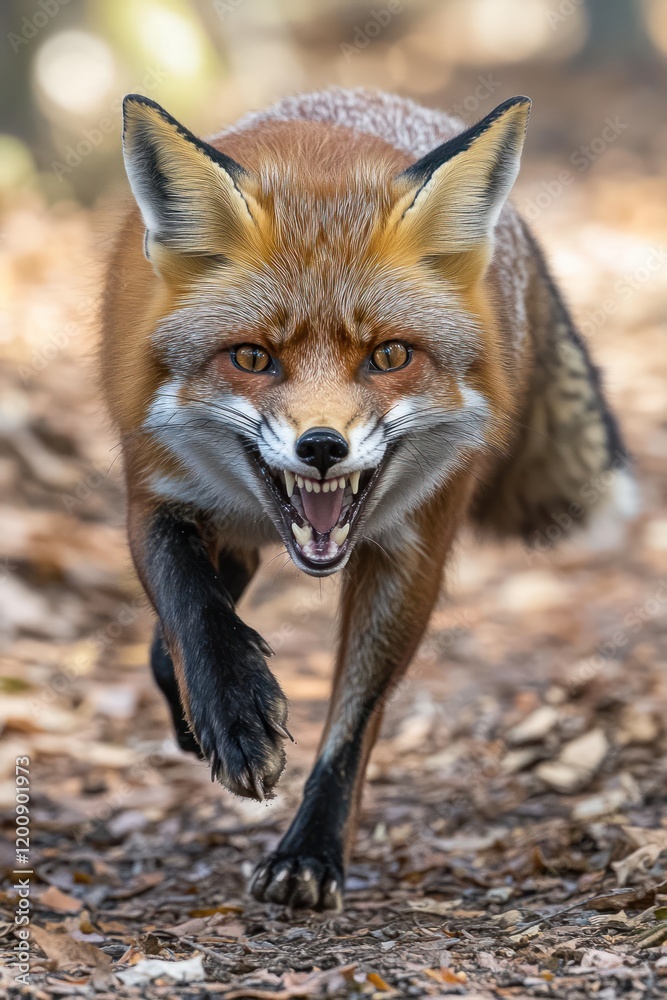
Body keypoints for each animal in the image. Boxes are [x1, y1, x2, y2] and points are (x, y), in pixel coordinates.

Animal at [101, 87, 636, 911]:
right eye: (252, 357)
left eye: (389, 356)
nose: (322, 447)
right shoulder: (155, 497)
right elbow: (193, 614)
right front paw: (231, 715)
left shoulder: (410, 550)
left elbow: (353, 721)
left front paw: (310, 852)